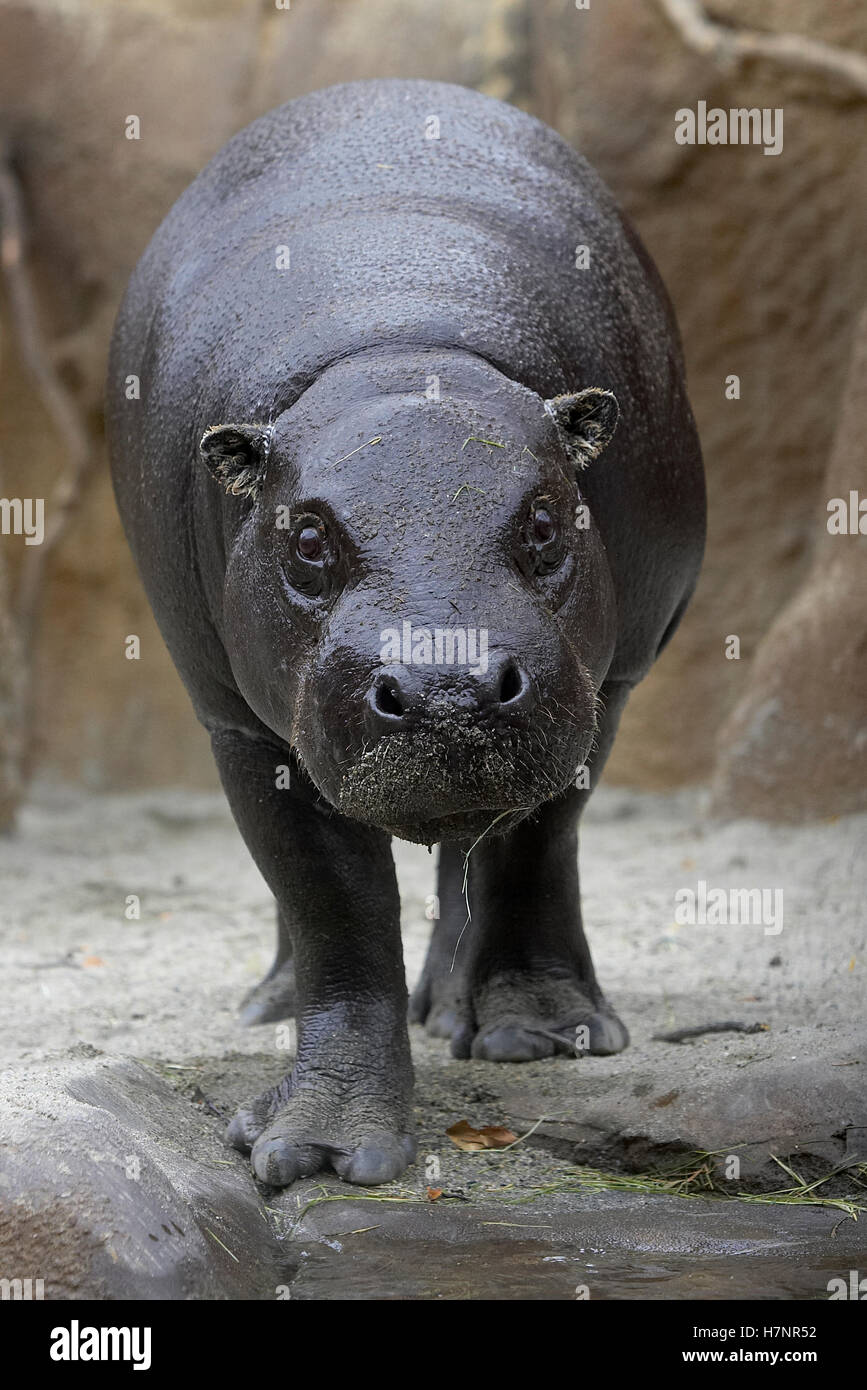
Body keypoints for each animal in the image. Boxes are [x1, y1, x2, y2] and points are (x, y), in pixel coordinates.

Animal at [107, 79, 705, 1187]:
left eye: (546, 519)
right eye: (305, 535)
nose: (445, 687)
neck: (402, 353)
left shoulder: (604, 686)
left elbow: (533, 843)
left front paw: (539, 1037)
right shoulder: (241, 725)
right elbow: (332, 906)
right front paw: (313, 1150)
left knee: (486, 845)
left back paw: (459, 1008)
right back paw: (274, 1004)